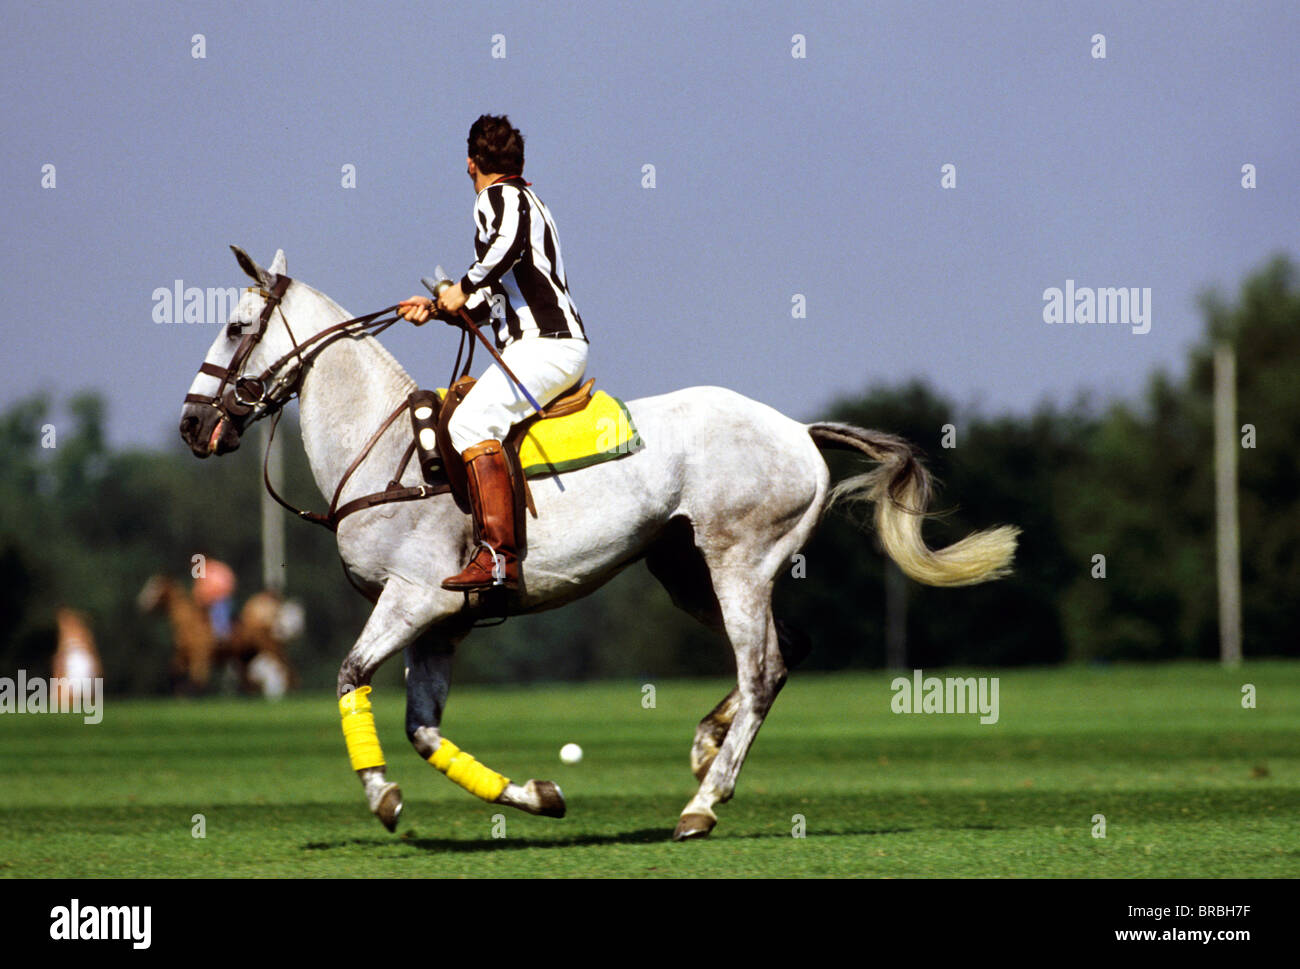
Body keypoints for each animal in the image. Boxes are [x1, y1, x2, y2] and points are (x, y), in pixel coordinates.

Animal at [178, 246, 1019, 840]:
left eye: (235, 326)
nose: (191, 425)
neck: (382, 449)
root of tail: (800, 430)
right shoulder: (443, 621)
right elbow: (423, 728)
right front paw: (538, 794)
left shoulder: (412, 598)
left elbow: (351, 675)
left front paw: (383, 796)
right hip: (685, 570)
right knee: (785, 653)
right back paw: (705, 746)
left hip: (738, 561)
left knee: (760, 668)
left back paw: (702, 803)